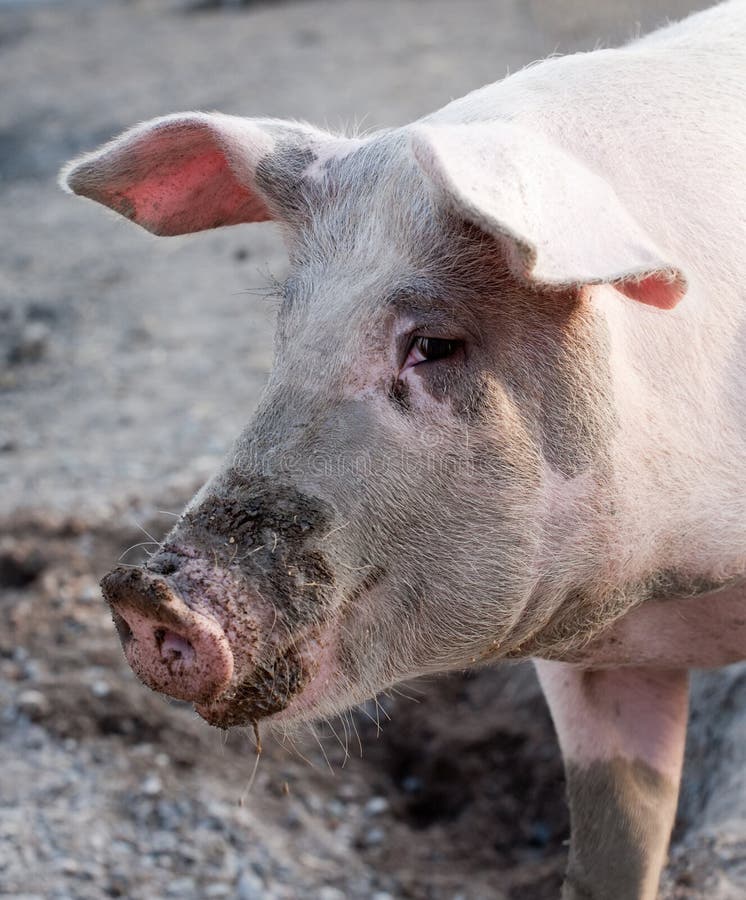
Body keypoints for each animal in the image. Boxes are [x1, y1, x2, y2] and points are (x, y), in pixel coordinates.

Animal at [60, 2, 746, 897]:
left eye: (433, 345)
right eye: (287, 328)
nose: (147, 593)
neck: (678, 581)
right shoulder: (588, 657)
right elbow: (618, 835)